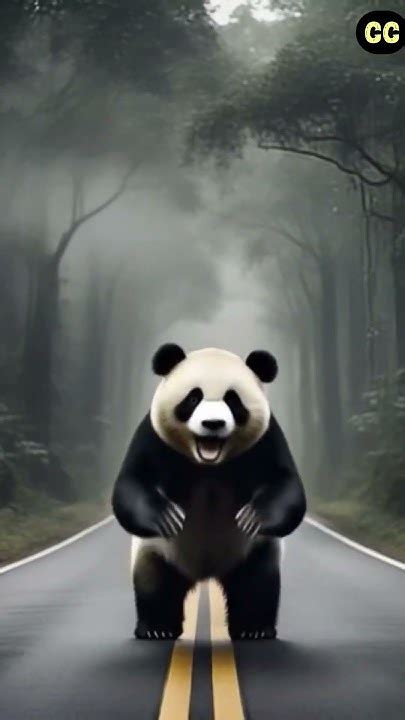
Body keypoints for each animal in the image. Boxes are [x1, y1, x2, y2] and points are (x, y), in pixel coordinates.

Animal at [112, 343, 306, 641]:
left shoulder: (267, 439)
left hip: (254, 551)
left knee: (257, 586)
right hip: (157, 552)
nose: (213, 423)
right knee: (155, 586)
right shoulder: (153, 436)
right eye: (193, 398)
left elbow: (287, 485)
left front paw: (253, 517)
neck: (209, 465)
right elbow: (132, 482)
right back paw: (157, 628)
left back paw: (254, 629)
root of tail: (206, 575)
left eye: (233, 400)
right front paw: (167, 517)